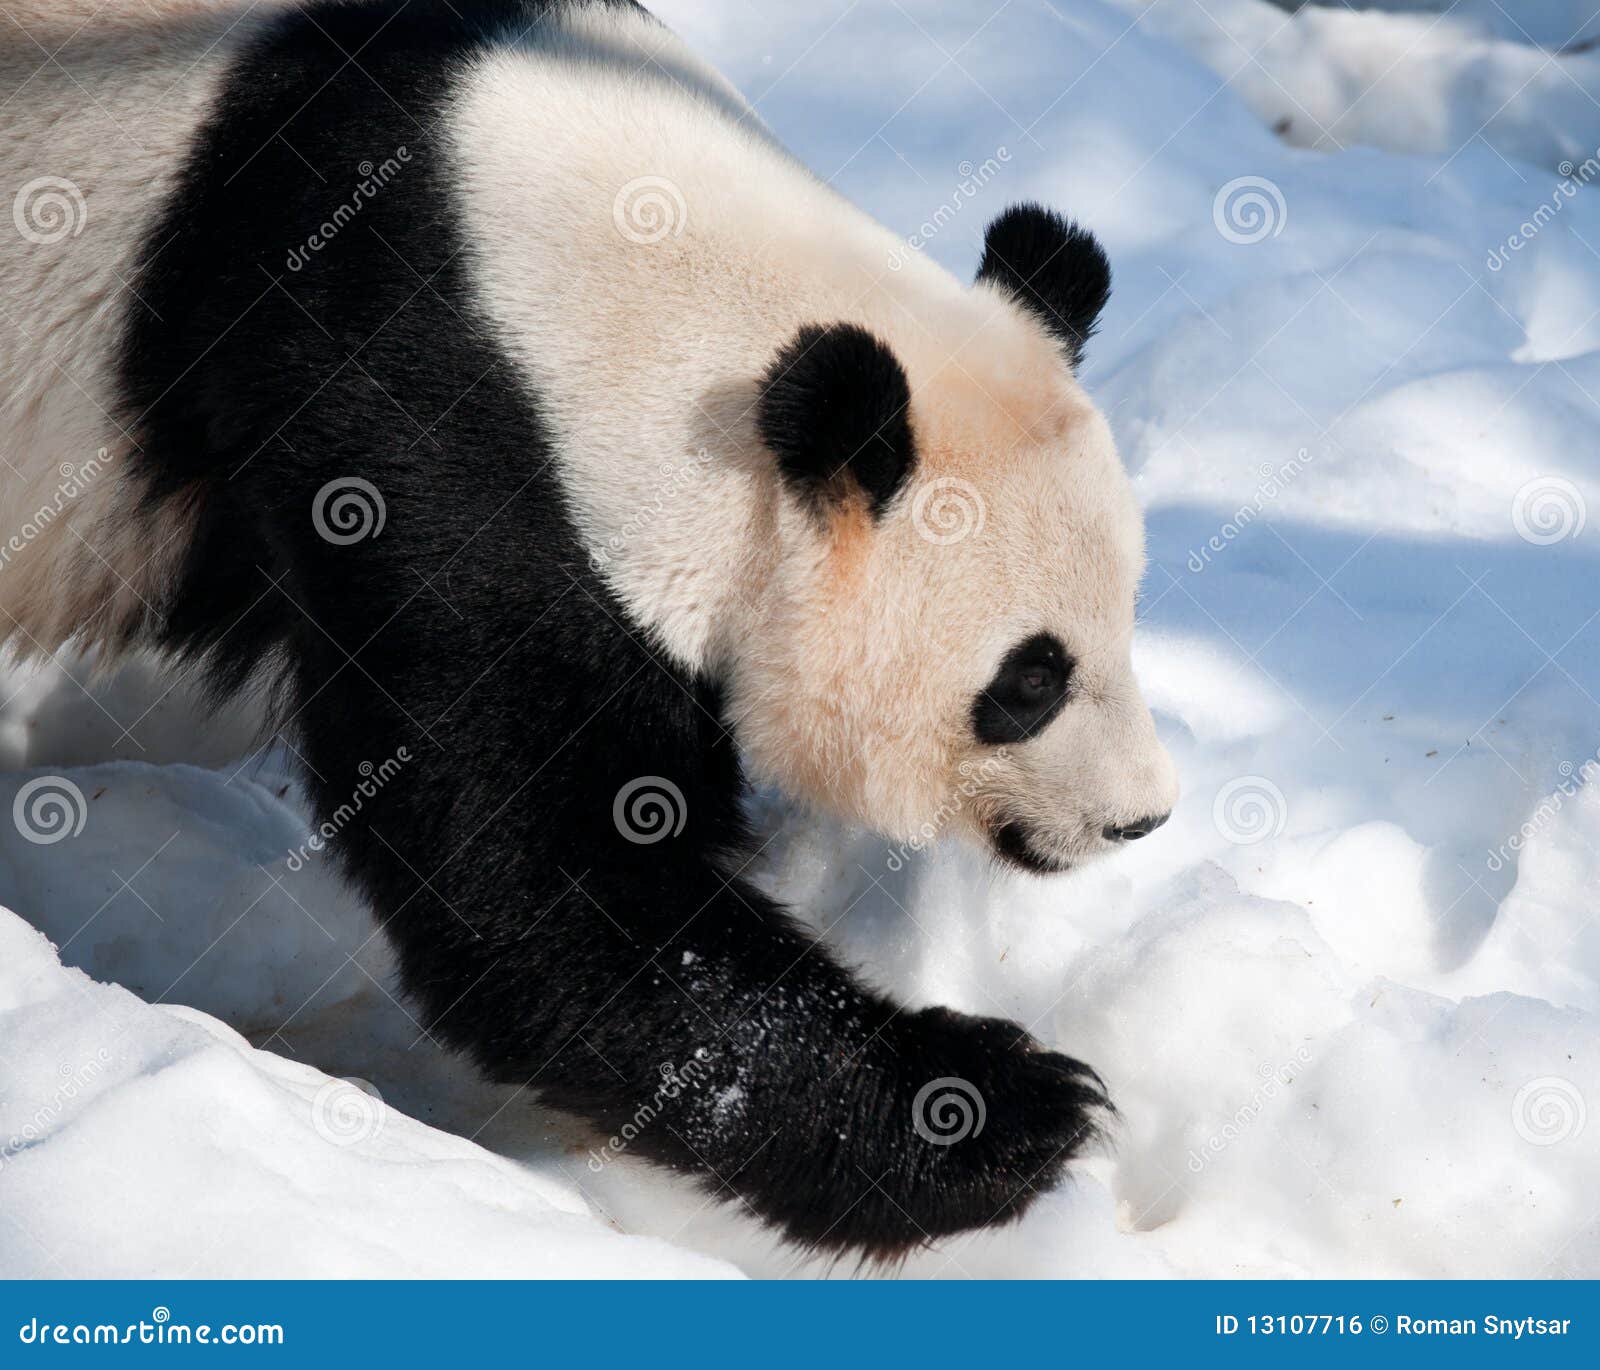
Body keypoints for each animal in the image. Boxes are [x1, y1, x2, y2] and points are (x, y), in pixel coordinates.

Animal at [0, 0, 1178, 1255]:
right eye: (1028, 679)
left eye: (1127, 612)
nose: (1139, 817)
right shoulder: (419, 422)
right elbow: (534, 873)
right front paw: (999, 1107)